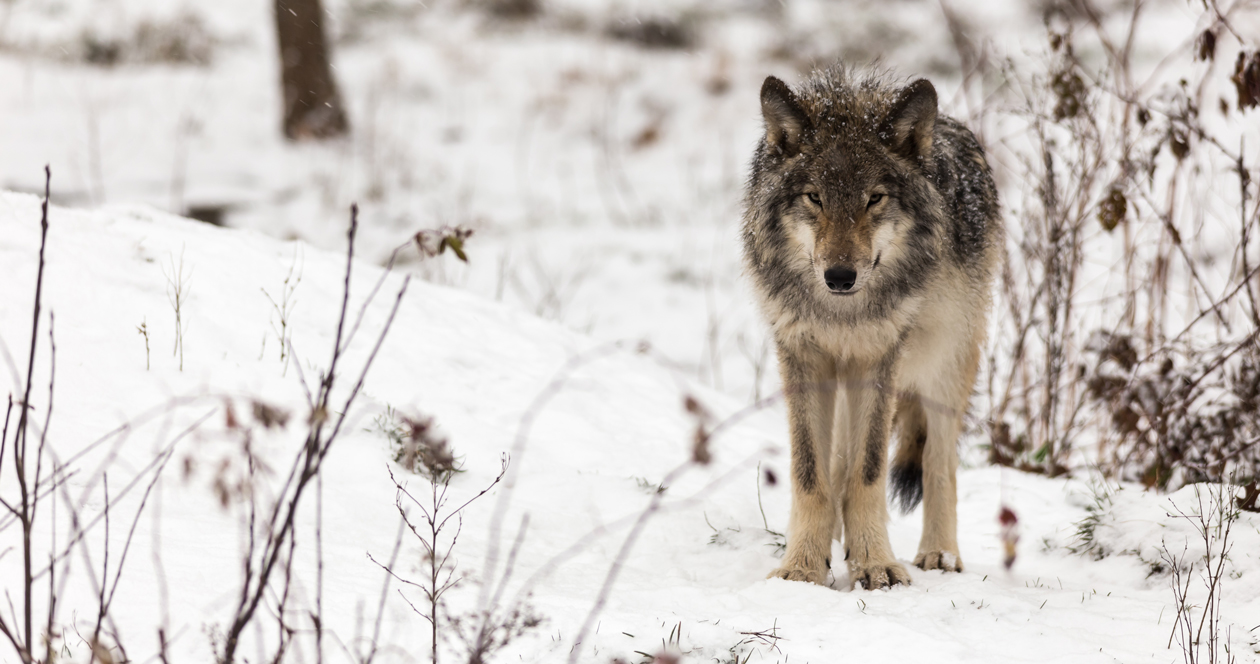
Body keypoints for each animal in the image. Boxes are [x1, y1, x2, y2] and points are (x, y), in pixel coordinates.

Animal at [741, 66, 1003, 589]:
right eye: (815, 198)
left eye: (874, 199)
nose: (840, 276)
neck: (841, 314)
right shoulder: (803, 355)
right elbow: (812, 473)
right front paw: (803, 565)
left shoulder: (882, 356)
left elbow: (869, 471)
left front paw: (875, 563)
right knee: (839, 459)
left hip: (943, 358)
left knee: (939, 462)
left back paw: (939, 553)